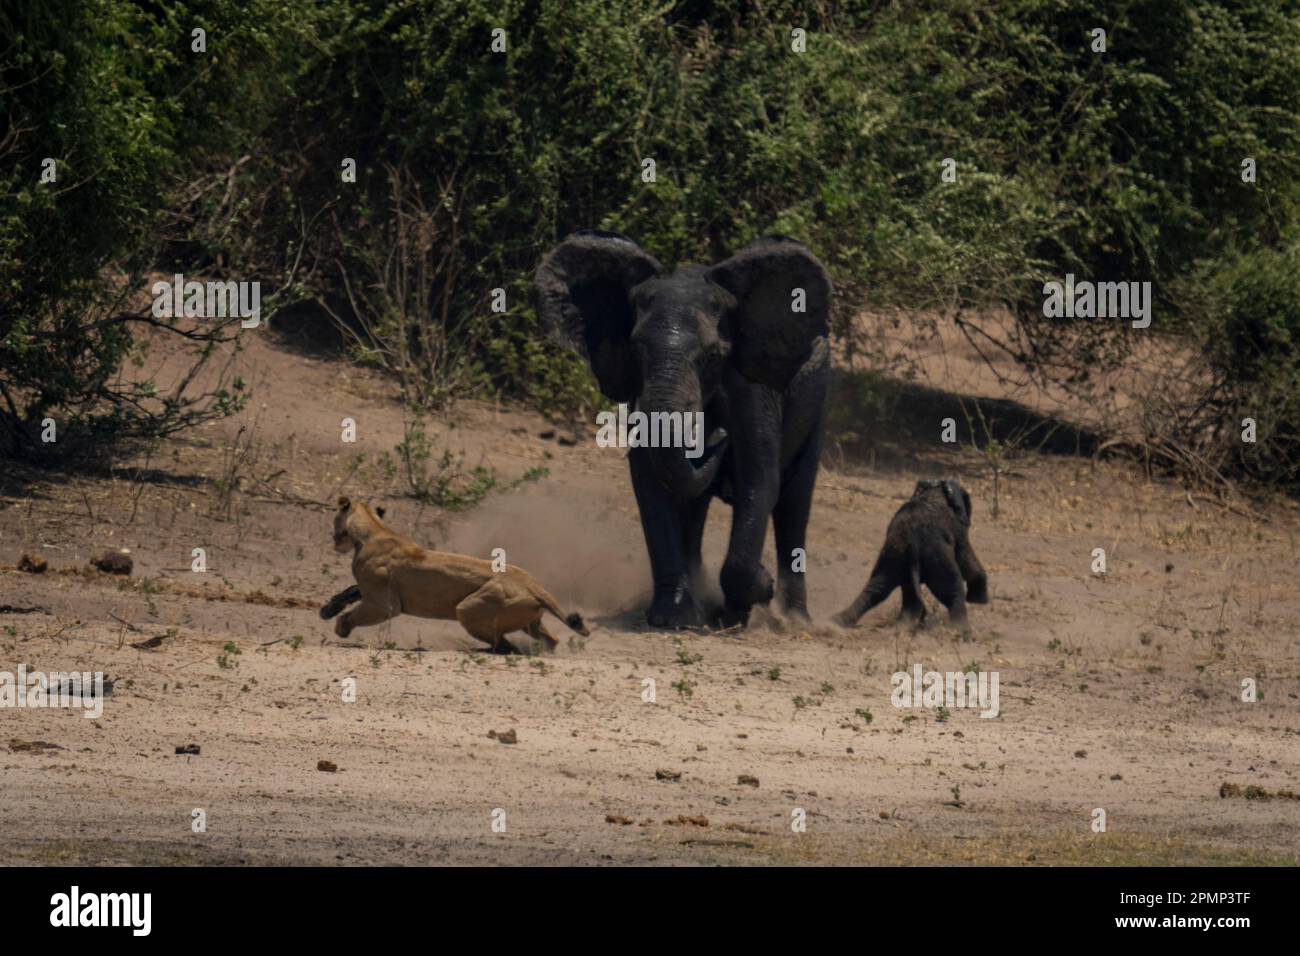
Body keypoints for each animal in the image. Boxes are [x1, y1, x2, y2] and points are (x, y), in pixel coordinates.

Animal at [320, 497, 588, 653]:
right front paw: (328, 608)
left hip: (468, 610)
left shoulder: (384, 604)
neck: (373, 530)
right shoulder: (370, 591)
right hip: (531, 622)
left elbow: (354, 613)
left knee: (505, 647)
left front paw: (340, 626)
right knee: (548, 641)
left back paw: (466, 648)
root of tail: (533, 584)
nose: (332, 538)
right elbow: (350, 591)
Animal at [535, 231, 831, 628]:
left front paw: (751, 597)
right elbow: (649, 481)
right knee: (695, 507)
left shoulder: (751, 386)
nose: (717, 438)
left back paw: (795, 621)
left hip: (817, 404)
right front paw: (673, 618)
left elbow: (759, 478)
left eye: (712, 356)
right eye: (636, 351)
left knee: (794, 504)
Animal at [834, 479, 989, 630]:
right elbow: (965, 557)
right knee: (952, 588)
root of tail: (913, 541)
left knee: (877, 586)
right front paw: (979, 600)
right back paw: (963, 631)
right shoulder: (959, 528)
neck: (935, 489)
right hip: (935, 556)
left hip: (894, 553)